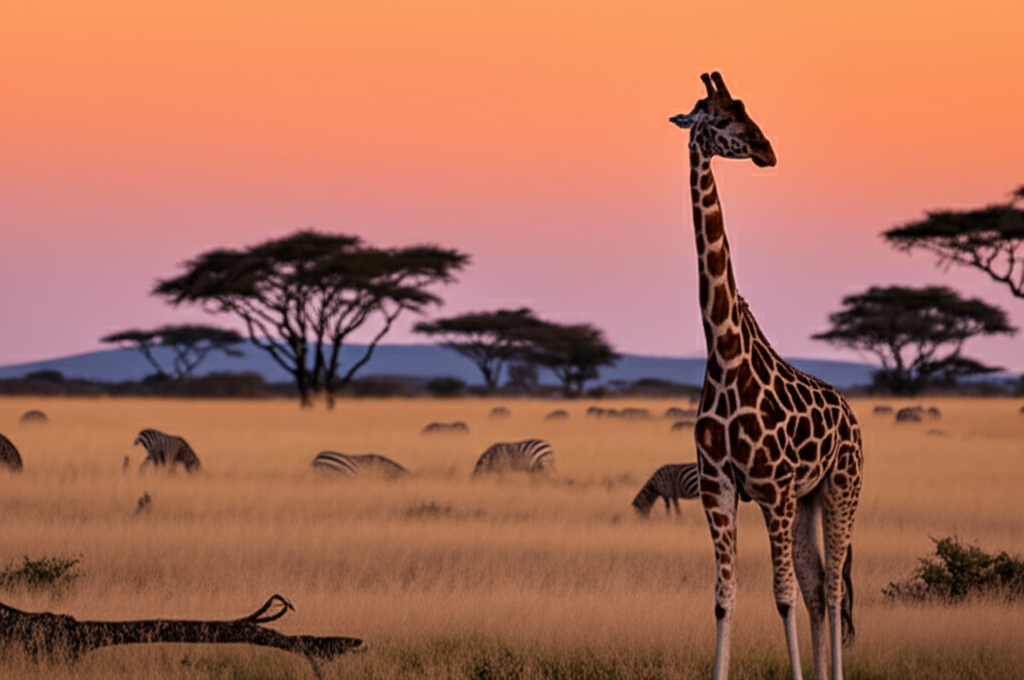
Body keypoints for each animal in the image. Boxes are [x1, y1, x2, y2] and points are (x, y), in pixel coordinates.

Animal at [669, 72, 863, 680]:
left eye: (744, 108)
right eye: (721, 117)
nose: (767, 150)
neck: (726, 353)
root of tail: (851, 417)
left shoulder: (773, 488)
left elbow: (781, 596)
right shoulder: (720, 486)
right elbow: (724, 597)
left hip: (842, 486)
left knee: (831, 589)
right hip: (808, 498)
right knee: (820, 586)